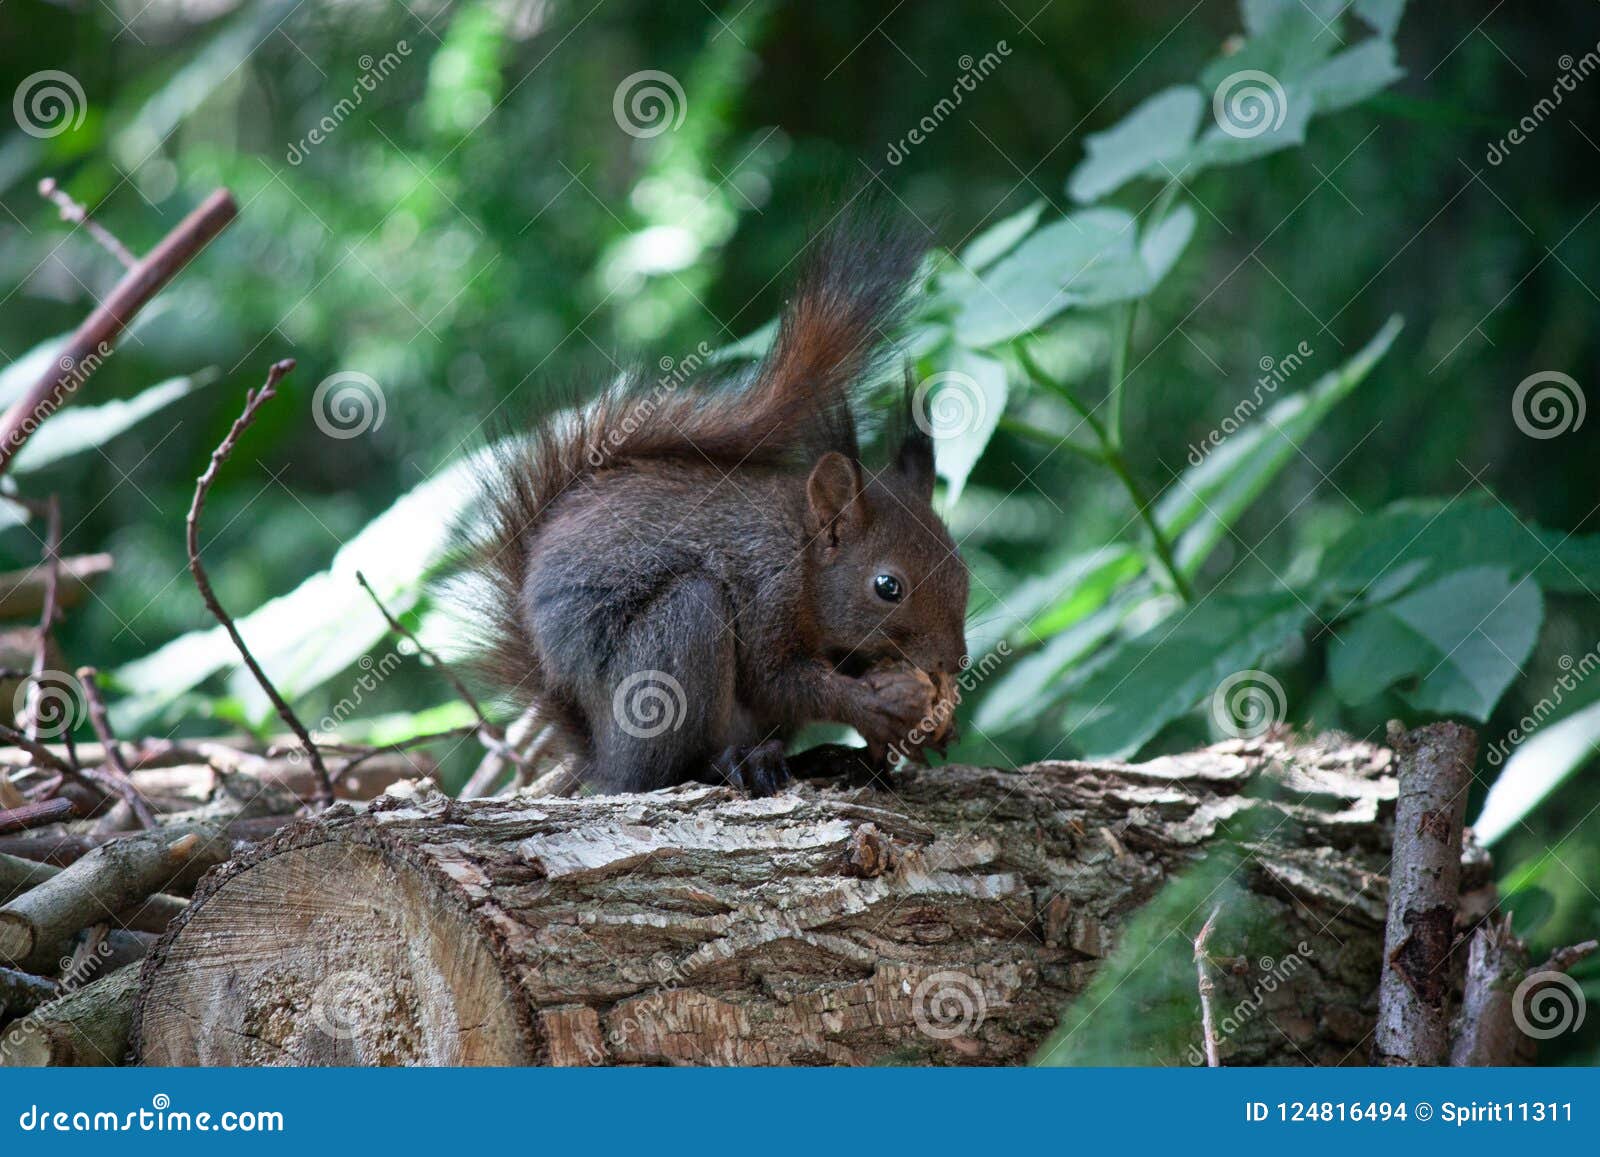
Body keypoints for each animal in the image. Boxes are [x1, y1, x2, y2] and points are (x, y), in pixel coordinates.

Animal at [459, 219, 970, 796]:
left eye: (962, 571)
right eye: (888, 587)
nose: (955, 660)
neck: (803, 556)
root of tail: (602, 755)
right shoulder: (767, 592)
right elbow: (778, 682)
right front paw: (877, 707)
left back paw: (823, 758)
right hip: (674, 646)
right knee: (657, 771)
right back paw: (729, 765)